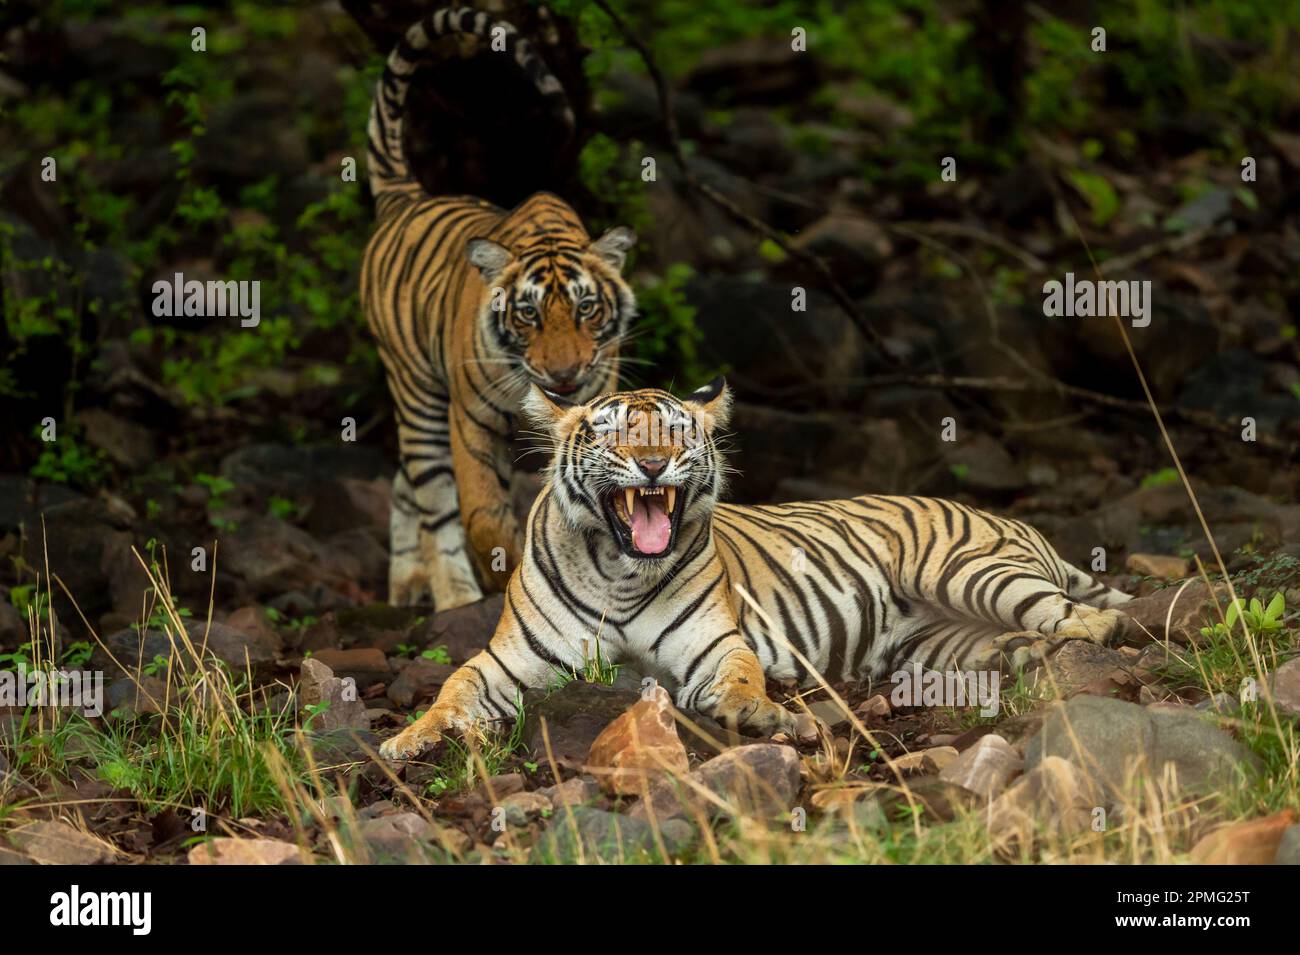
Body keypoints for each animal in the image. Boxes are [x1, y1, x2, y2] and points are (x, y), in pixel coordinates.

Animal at [362, 6, 638, 611]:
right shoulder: (470, 420)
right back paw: (452, 594)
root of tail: (406, 196)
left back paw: (407, 581)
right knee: (431, 496)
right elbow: (480, 511)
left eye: (586, 308)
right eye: (528, 315)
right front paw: (505, 569)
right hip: (417, 394)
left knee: (404, 484)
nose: (565, 373)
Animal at [379, 380, 1133, 759]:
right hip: (940, 643)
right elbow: (452, 687)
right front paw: (408, 740)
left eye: (677, 431)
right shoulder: (506, 660)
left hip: (969, 572)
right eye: (610, 432)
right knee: (1023, 640)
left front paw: (767, 717)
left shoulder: (716, 643)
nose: (651, 463)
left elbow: (740, 682)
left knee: (1086, 618)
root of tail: (1012, 520)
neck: (618, 569)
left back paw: (1100, 637)